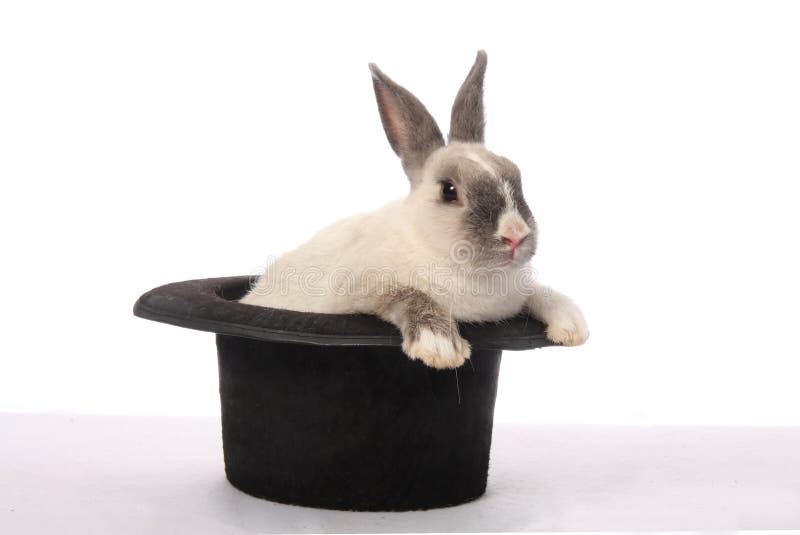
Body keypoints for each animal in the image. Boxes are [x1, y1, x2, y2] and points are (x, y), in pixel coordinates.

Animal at [240, 50, 588, 369]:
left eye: (515, 174)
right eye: (449, 191)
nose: (516, 235)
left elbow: (538, 292)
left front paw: (572, 325)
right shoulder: (363, 290)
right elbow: (410, 294)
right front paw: (441, 346)